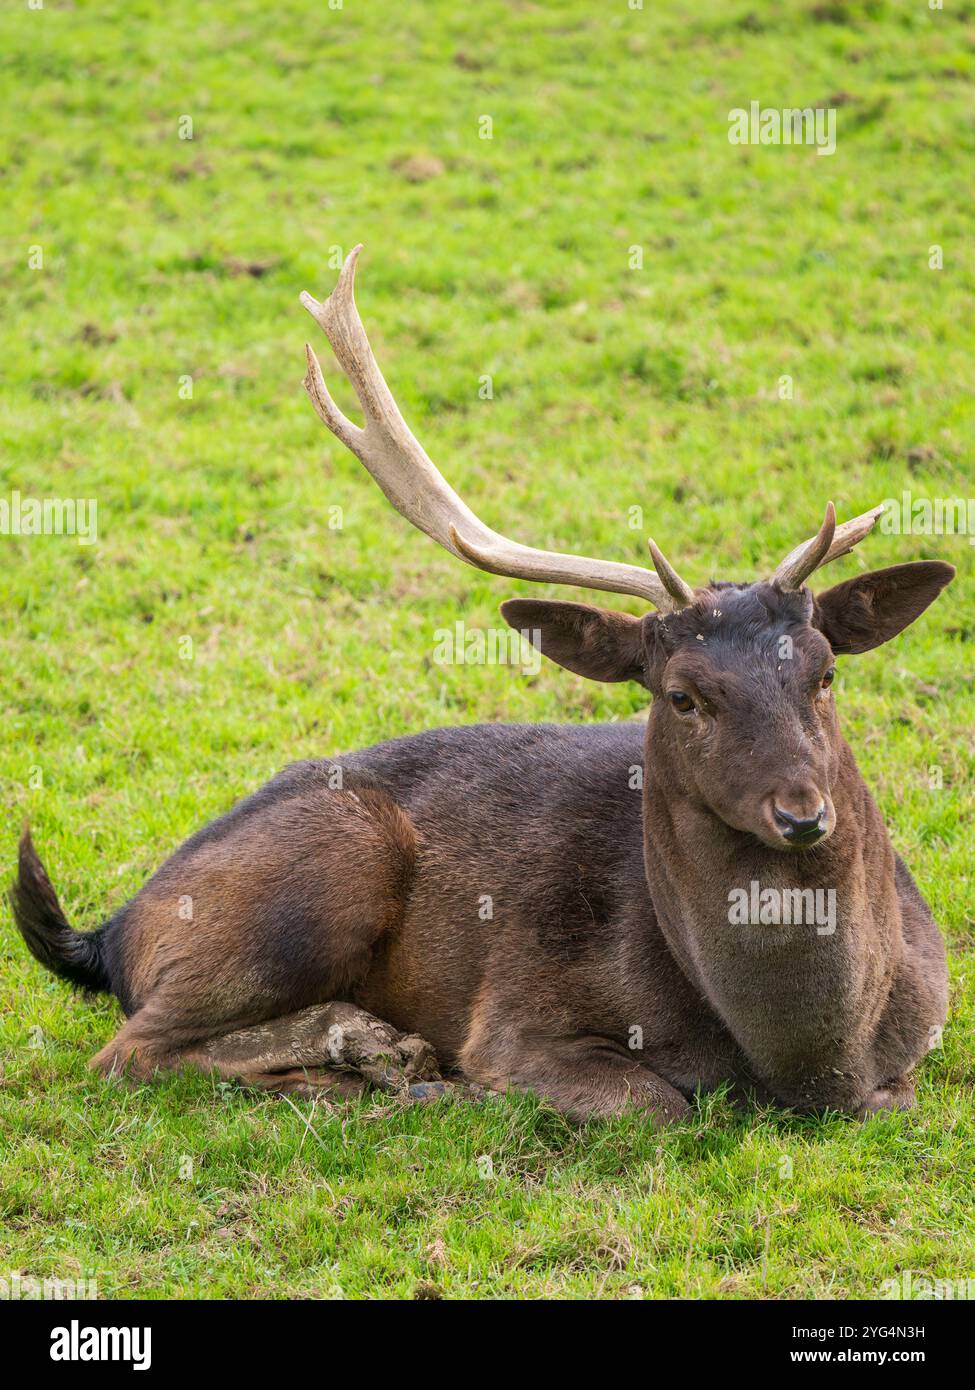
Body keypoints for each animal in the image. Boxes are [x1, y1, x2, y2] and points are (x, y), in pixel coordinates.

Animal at [12, 247, 954, 1124]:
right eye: (681, 694)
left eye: (825, 672)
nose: (801, 813)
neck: (808, 1065)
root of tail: (113, 928)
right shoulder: (517, 1015)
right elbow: (657, 1103)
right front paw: (445, 1077)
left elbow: (891, 1096)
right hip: (327, 862)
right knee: (130, 1052)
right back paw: (376, 1056)